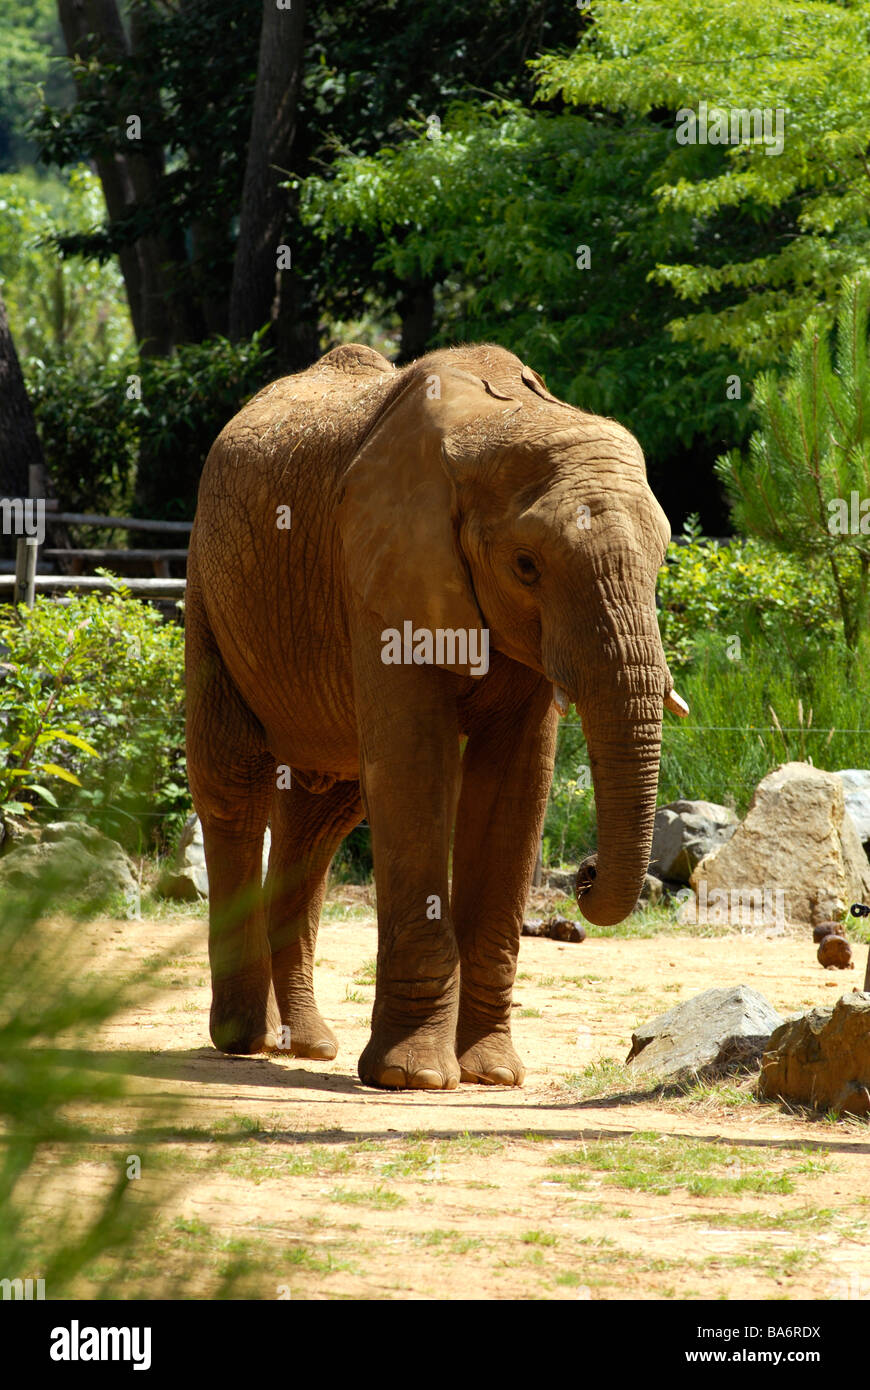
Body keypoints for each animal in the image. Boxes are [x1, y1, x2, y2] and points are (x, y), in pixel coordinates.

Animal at [185, 341, 688, 1090]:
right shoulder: (381, 568)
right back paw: (244, 1039)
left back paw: (306, 1045)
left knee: (323, 811)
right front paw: (413, 1078)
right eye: (526, 565)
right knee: (235, 784)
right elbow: (415, 763)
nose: (587, 874)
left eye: (660, 561)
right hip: (208, 588)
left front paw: (491, 1076)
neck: (503, 423)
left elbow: (516, 779)